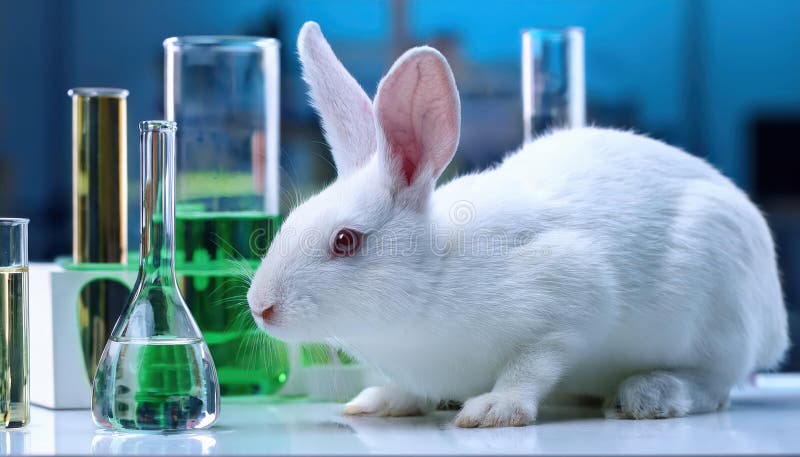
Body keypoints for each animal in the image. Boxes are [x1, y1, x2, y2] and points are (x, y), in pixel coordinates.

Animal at [247, 21, 789, 428]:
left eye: (345, 240)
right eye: (290, 221)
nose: (260, 307)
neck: (435, 275)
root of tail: (776, 325)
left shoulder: (572, 302)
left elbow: (532, 364)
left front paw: (493, 409)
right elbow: (412, 388)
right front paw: (383, 401)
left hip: (718, 312)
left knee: (718, 383)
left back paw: (648, 394)